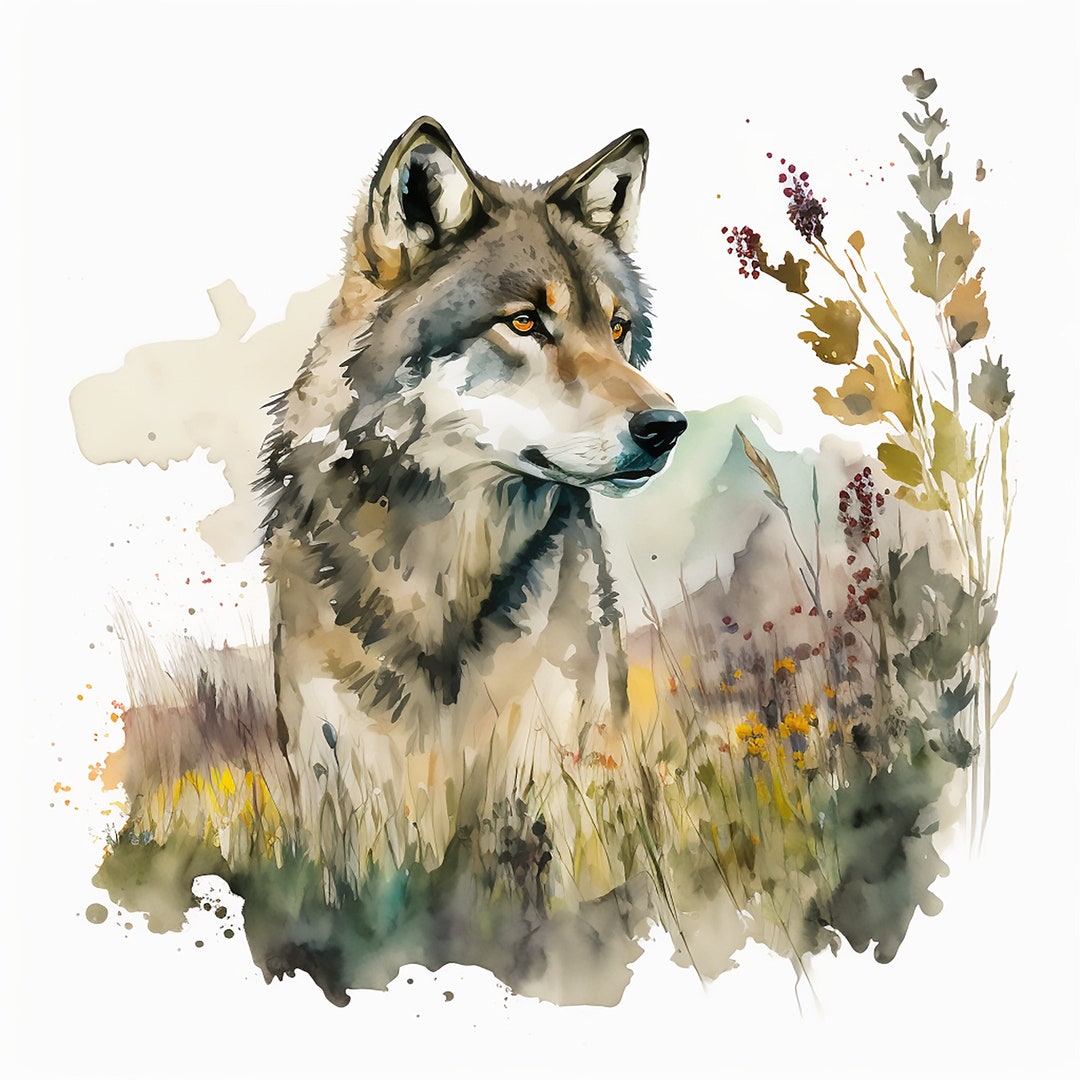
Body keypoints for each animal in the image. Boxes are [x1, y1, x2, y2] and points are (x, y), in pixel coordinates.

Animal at [259, 117, 686, 900]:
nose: (667, 427)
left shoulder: (554, 777)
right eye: (523, 322)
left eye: (617, 329)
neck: (446, 579)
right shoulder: (349, 793)